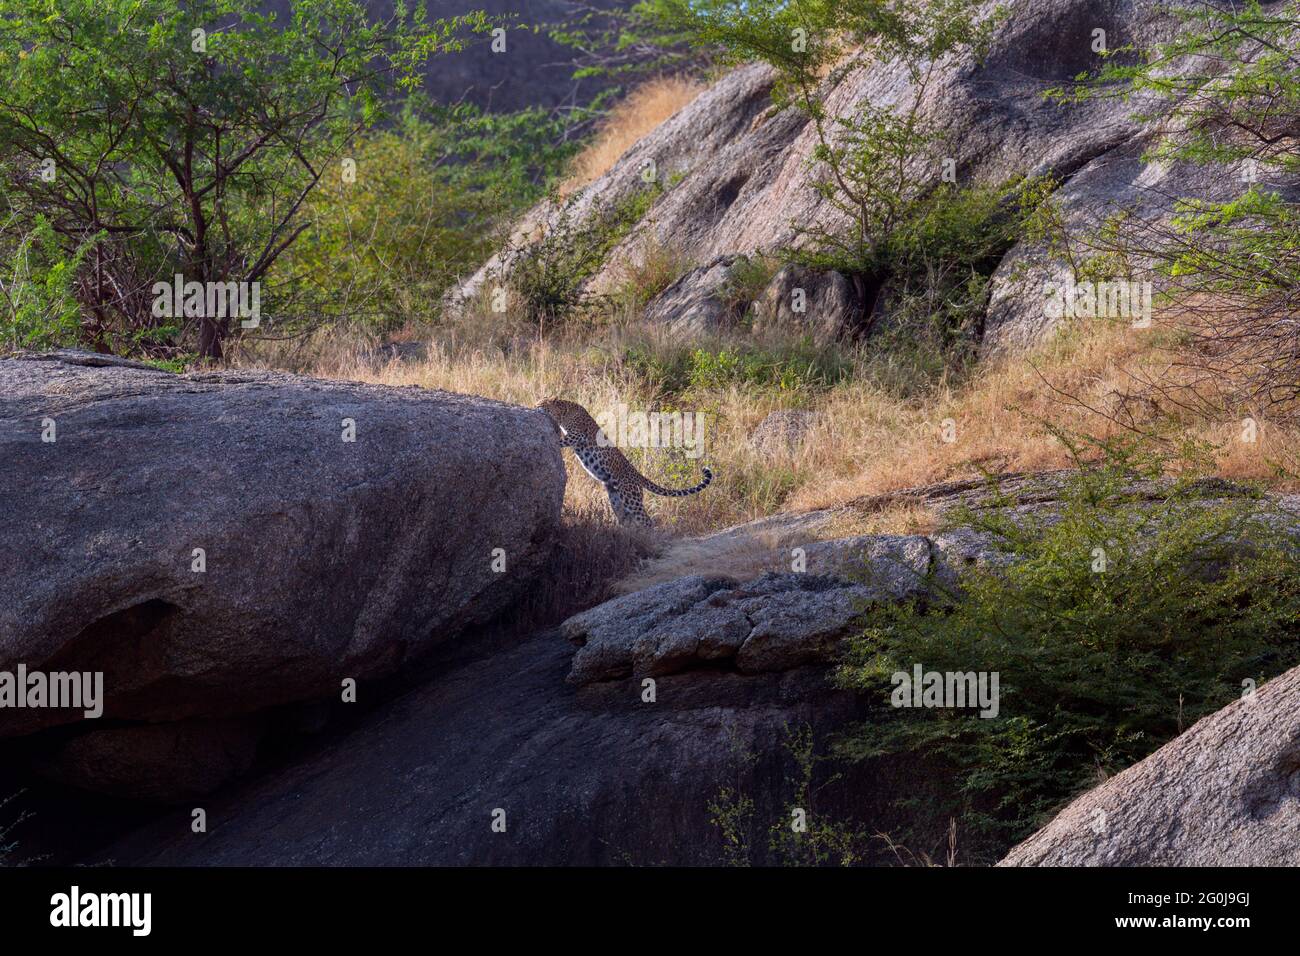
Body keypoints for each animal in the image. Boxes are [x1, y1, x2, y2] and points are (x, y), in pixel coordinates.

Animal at [538, 398, 713, 526]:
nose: (536, 406)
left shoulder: (577, 434)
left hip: (631, 496)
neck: (563, 411)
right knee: (627, 518)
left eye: (541, 404)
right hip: (616, 498)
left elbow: (560, 440)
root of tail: (638, 475)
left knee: (646, 520)